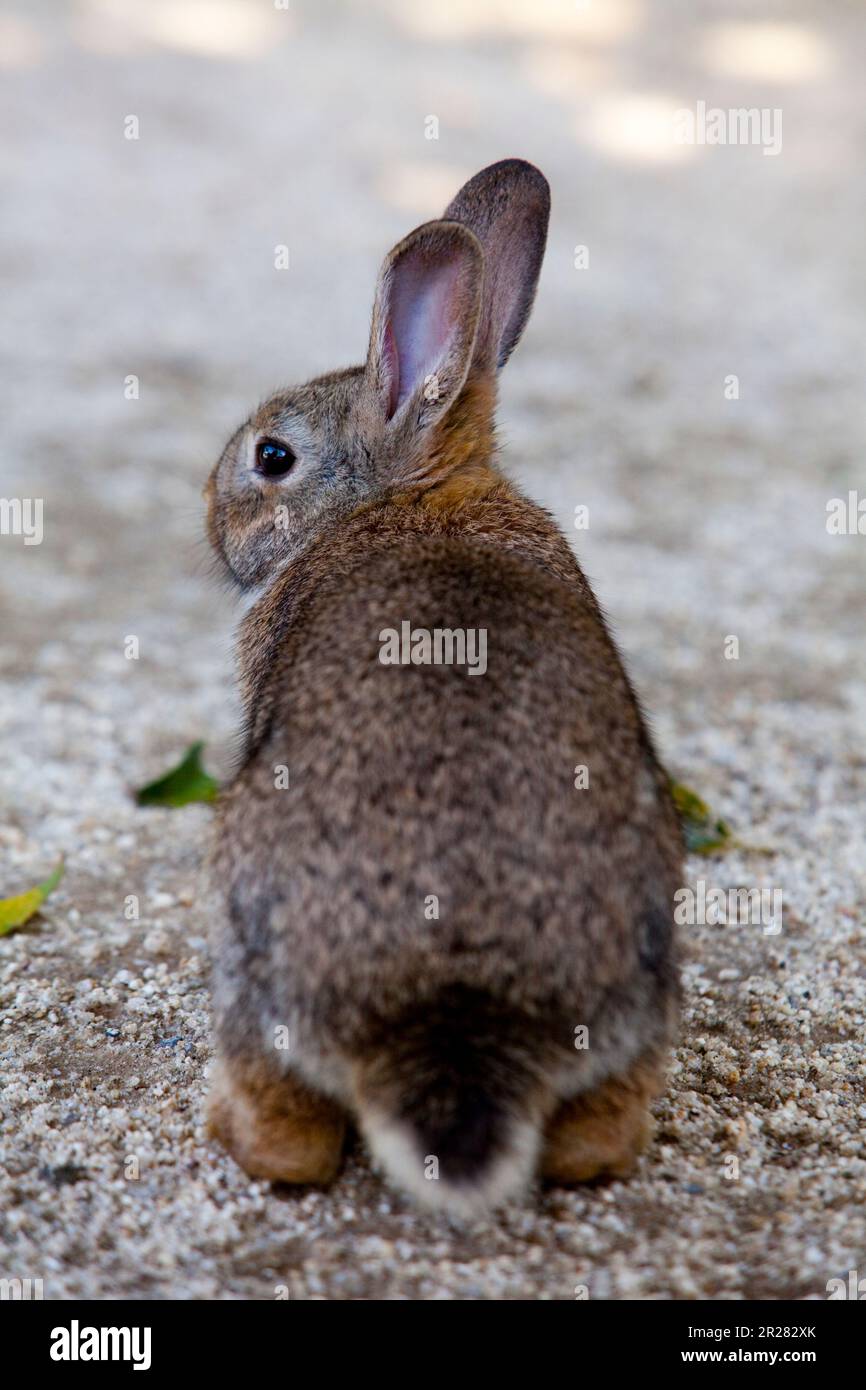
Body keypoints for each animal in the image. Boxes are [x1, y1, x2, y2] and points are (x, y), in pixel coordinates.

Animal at [204, 159, 682, 1216]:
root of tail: (456, 1016)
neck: (409, 492)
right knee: (601, 1139)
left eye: (272, 458)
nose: (210, 518)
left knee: (292, 1146)